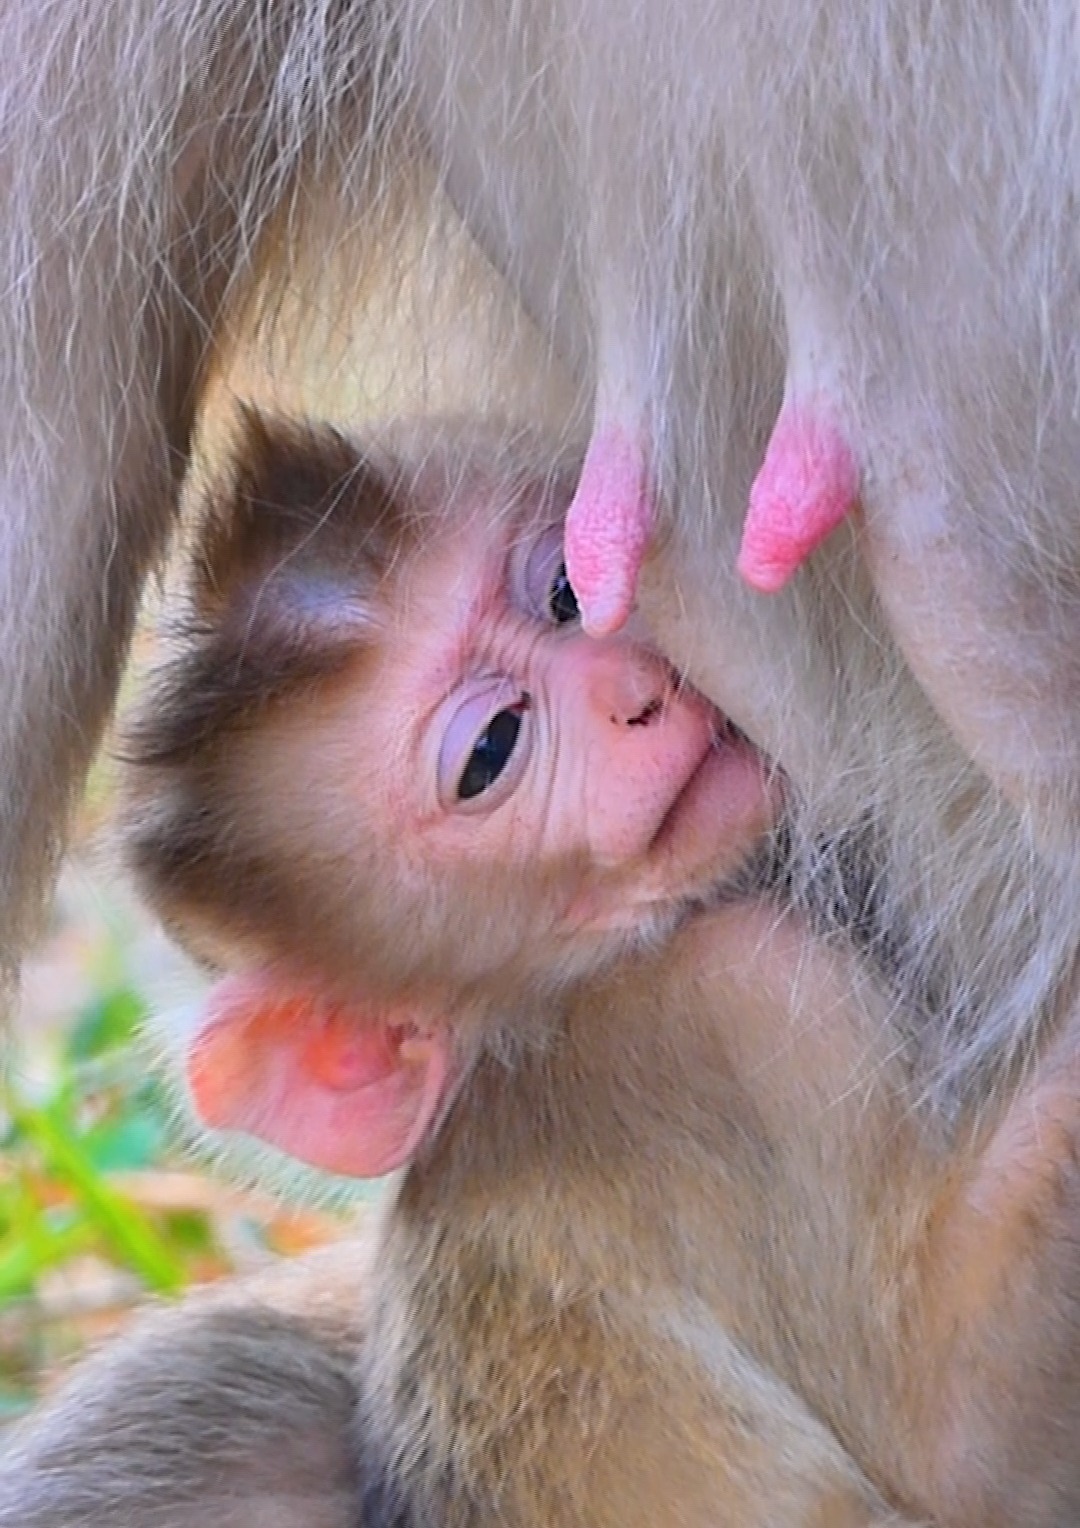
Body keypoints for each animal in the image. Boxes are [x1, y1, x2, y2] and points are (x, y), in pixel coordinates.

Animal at [7, 414, 1080, 1527]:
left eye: (565, 592)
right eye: (492, 748)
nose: (635, 694)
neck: (545, 1011)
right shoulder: (733, 1017)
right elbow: (959, 1437)